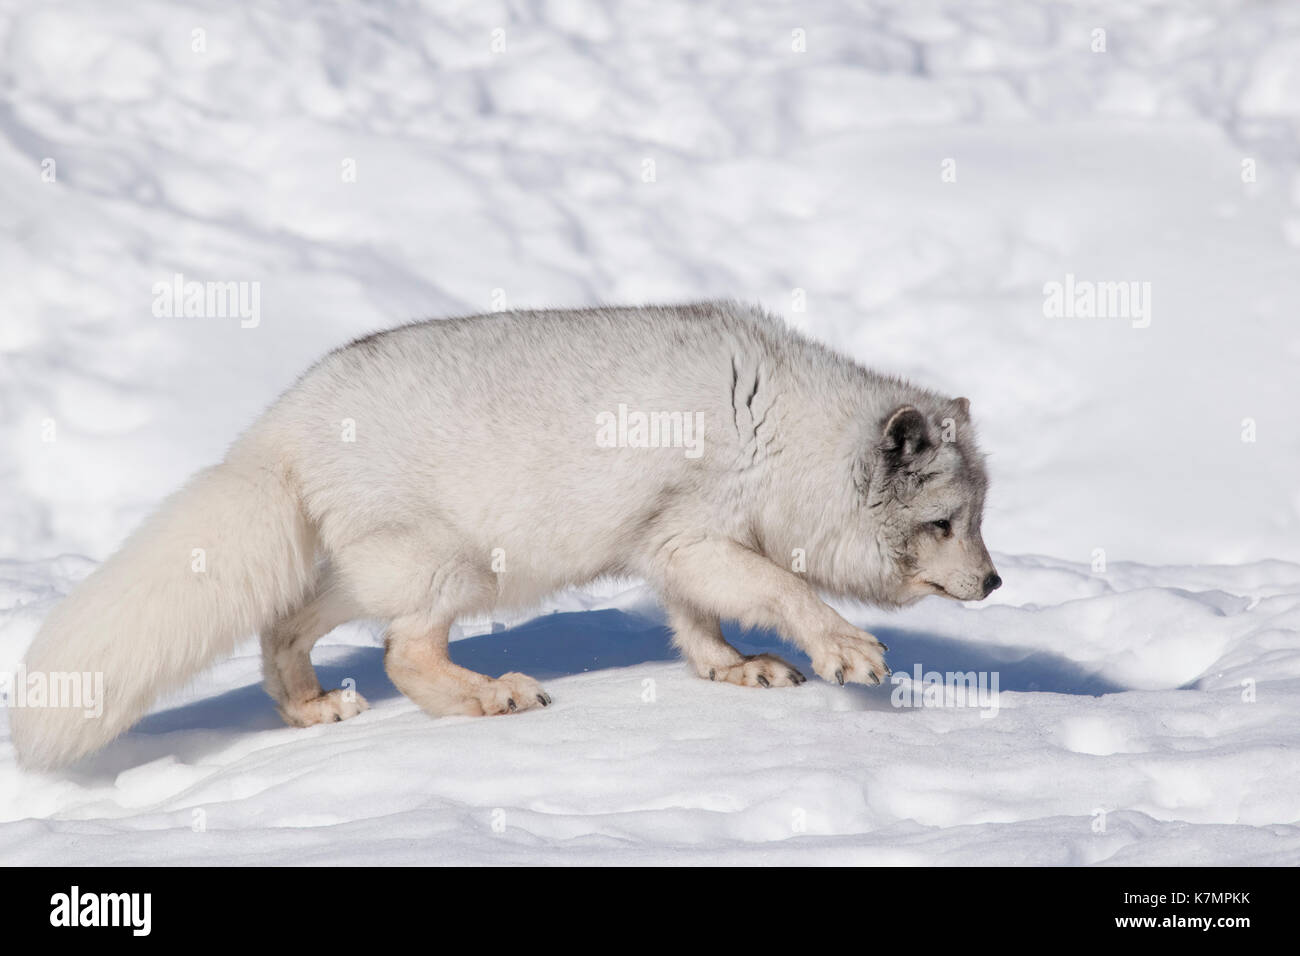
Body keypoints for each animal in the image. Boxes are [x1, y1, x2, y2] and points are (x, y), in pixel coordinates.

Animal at [10, 301, 1000, 770]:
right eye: (943, 524)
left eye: (981, 521)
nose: (993, 585)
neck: (779, 431)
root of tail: (280, 423)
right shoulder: (699, 535)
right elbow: (785, 590)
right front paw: (845, 651)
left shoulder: (671, 546)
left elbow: (697, 625)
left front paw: (735, 671)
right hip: (450, 569)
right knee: (404, 654)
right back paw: (492, 698)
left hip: (363, 569)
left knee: (283, 626)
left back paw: (311, 709)